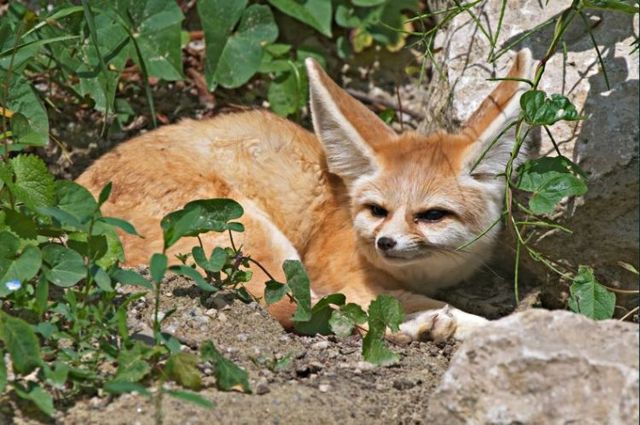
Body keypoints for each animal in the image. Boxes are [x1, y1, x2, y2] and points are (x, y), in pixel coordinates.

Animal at [77, 49, 532, 342]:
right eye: (377, 210)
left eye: (432, 215)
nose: (385, 242)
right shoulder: (338, 273)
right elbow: (374, 303)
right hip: (256, 235)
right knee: (301, 309)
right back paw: (421, 326)